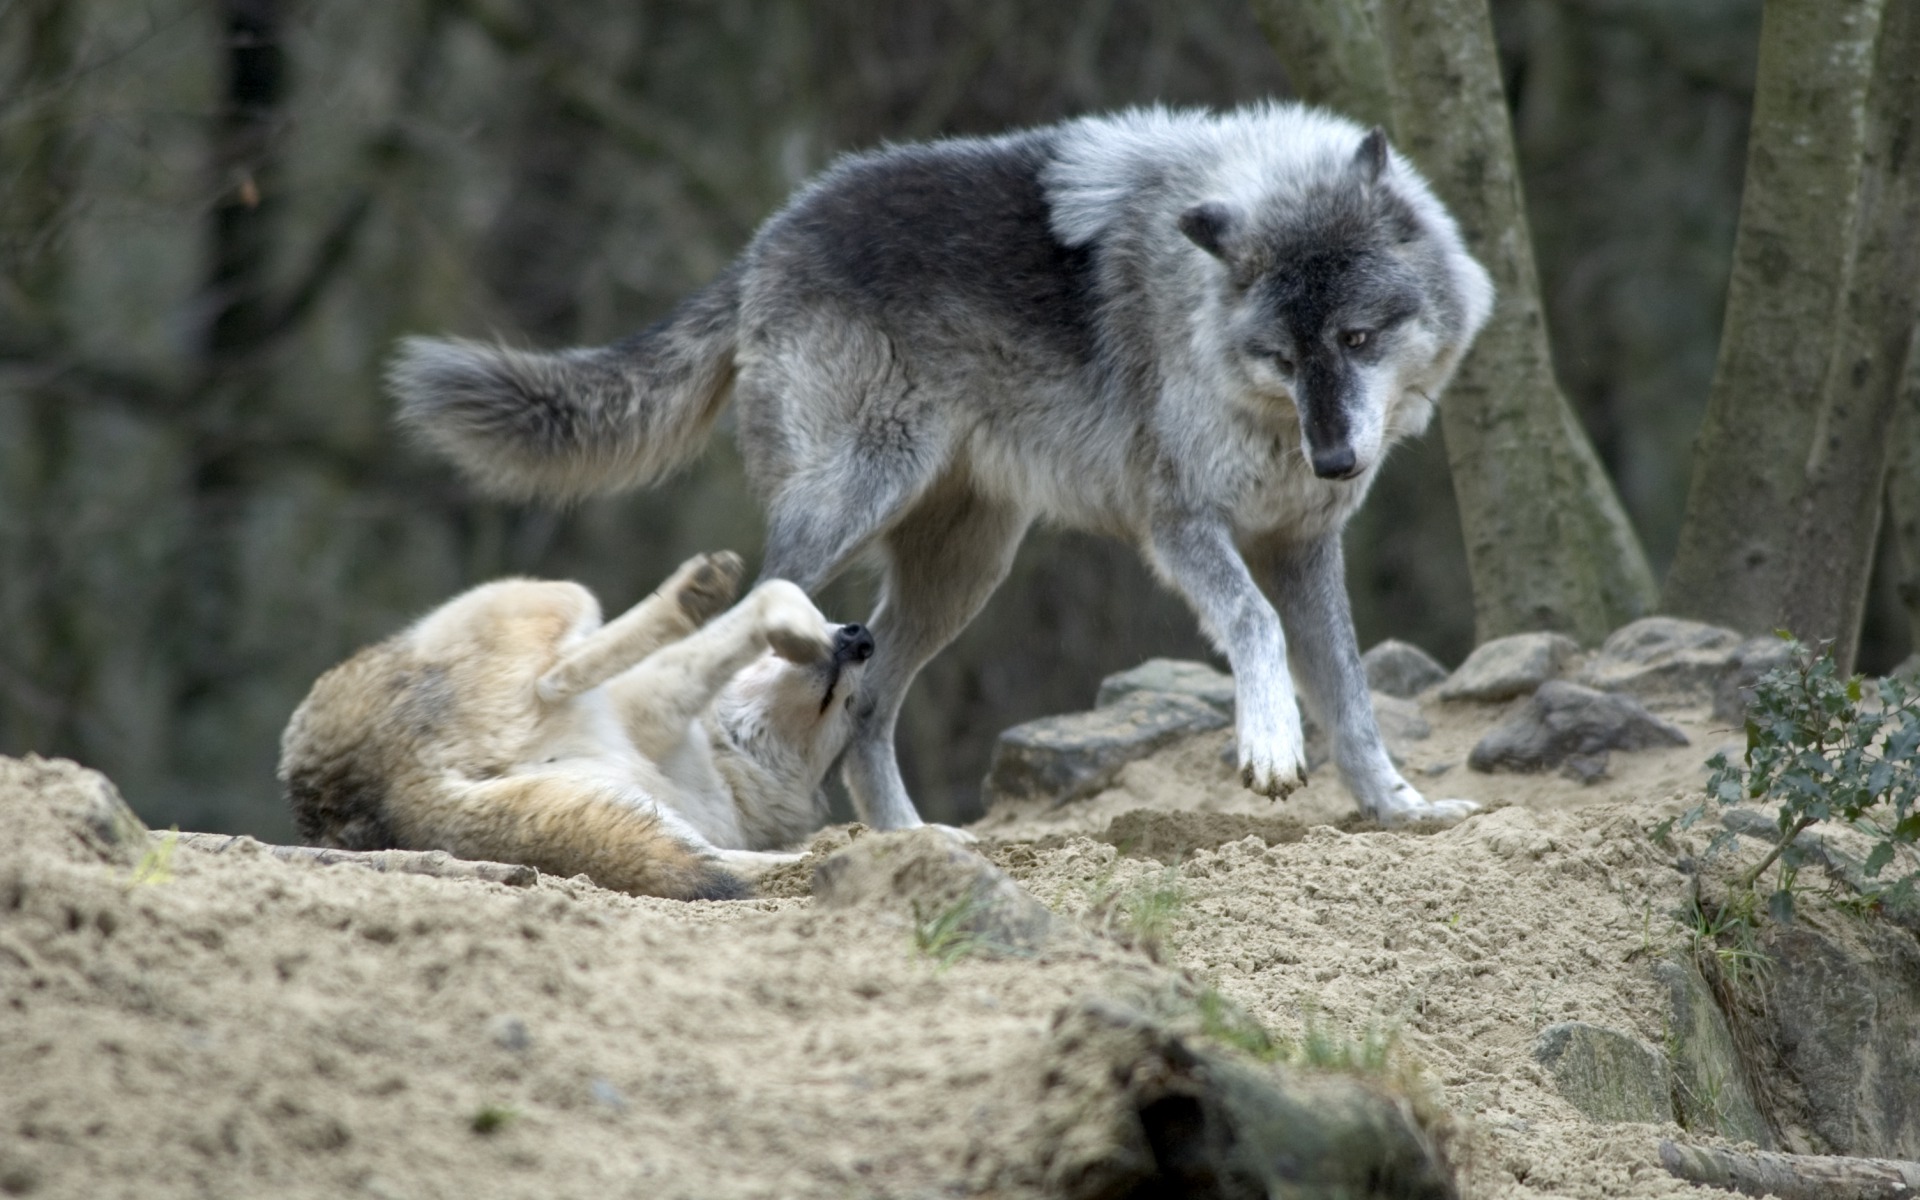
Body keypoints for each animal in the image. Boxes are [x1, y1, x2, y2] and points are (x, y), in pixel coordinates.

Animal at [279, 552, 874, 899]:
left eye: (845, 706)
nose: (862, 638)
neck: (726, 762)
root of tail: (398, 782)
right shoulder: (653, 701)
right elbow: (775, 594)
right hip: (556, 594)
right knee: (560, 672)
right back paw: (699, 590)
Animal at [390, 102, 1494, 828]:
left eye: (1355, 339)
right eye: (1282, 355)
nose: (1336, 458)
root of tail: (768, 238)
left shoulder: (1304, 544)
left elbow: (1351, 693)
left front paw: (1402, 807)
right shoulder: (1180, 525)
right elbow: (1257, 628)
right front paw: (1269, 747)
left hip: (961, 572)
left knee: (867, 705)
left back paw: (909, 843)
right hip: (848, 510)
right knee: (746, 626)